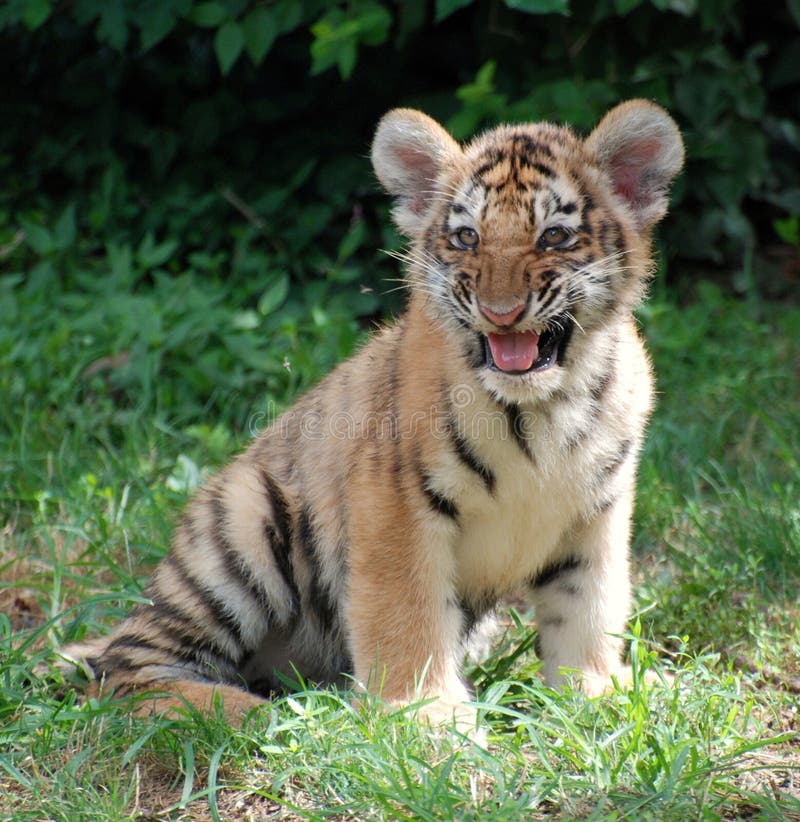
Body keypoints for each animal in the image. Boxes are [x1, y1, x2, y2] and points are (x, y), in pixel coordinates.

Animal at [61, 100, 684, 731]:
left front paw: (595, 692)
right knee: (129, 669)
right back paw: (263, 716)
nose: (500, 312)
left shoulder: (598, 509)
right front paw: (426, 717)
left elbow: (588, 603)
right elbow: (406, 610)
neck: (545, 405)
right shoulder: (395, 501)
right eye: (467, 237)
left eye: (554, 236)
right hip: (240, 523)